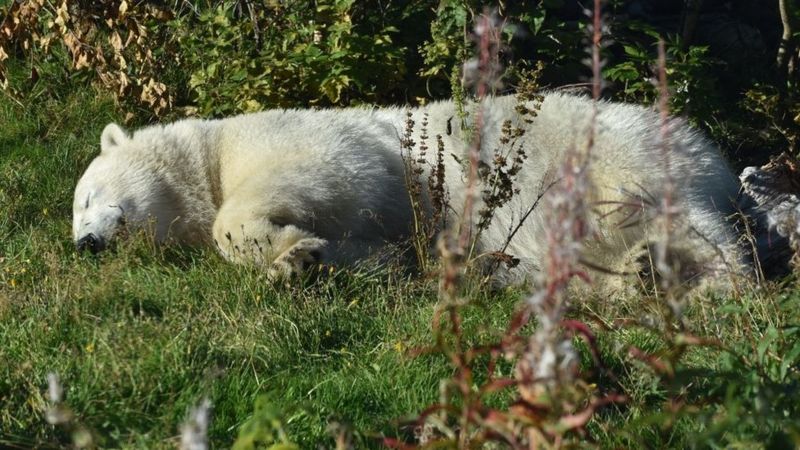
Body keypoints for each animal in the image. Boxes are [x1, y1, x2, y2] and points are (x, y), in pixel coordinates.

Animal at [72, 92, 745, 288]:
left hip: (618, 154)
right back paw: (639, 274)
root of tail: (708, 151)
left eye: (84, 200)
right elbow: (371, 248)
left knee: (681, 218)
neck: (209, 154)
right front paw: (310, 258)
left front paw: (287, 247)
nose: (85, 244)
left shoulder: (307, 138)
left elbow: (329, 172)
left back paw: (706, 279)